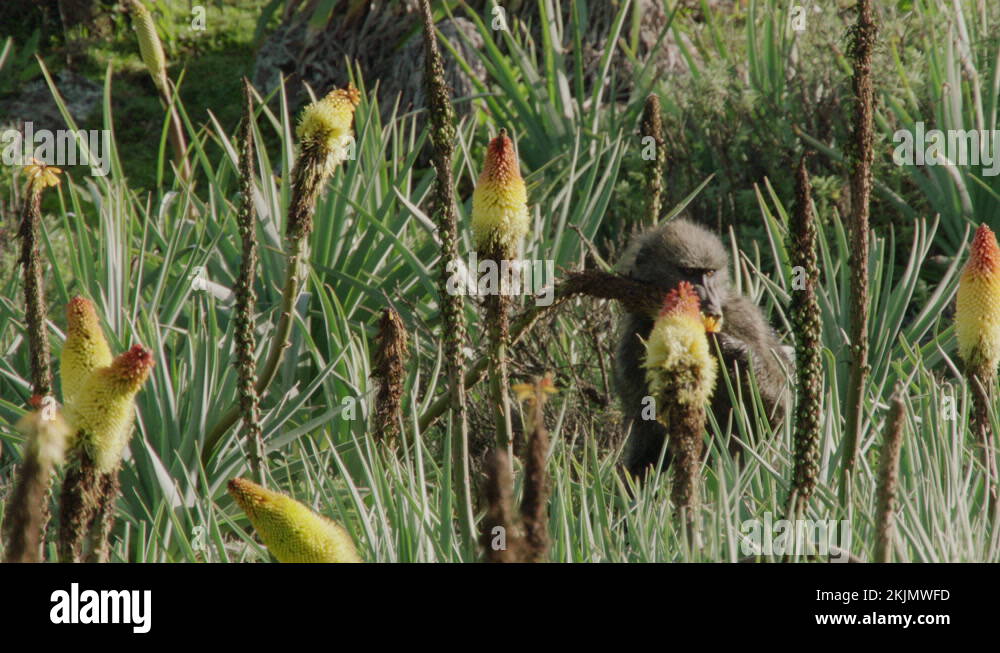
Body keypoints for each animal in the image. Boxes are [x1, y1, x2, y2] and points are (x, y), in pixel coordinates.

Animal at [613, 217, 792, 479]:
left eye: (709, 272)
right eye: (688, 272)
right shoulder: (634, 340)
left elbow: (778, 409)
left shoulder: (744, 319)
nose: (709, 301)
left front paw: (737, 353)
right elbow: (647, 422)